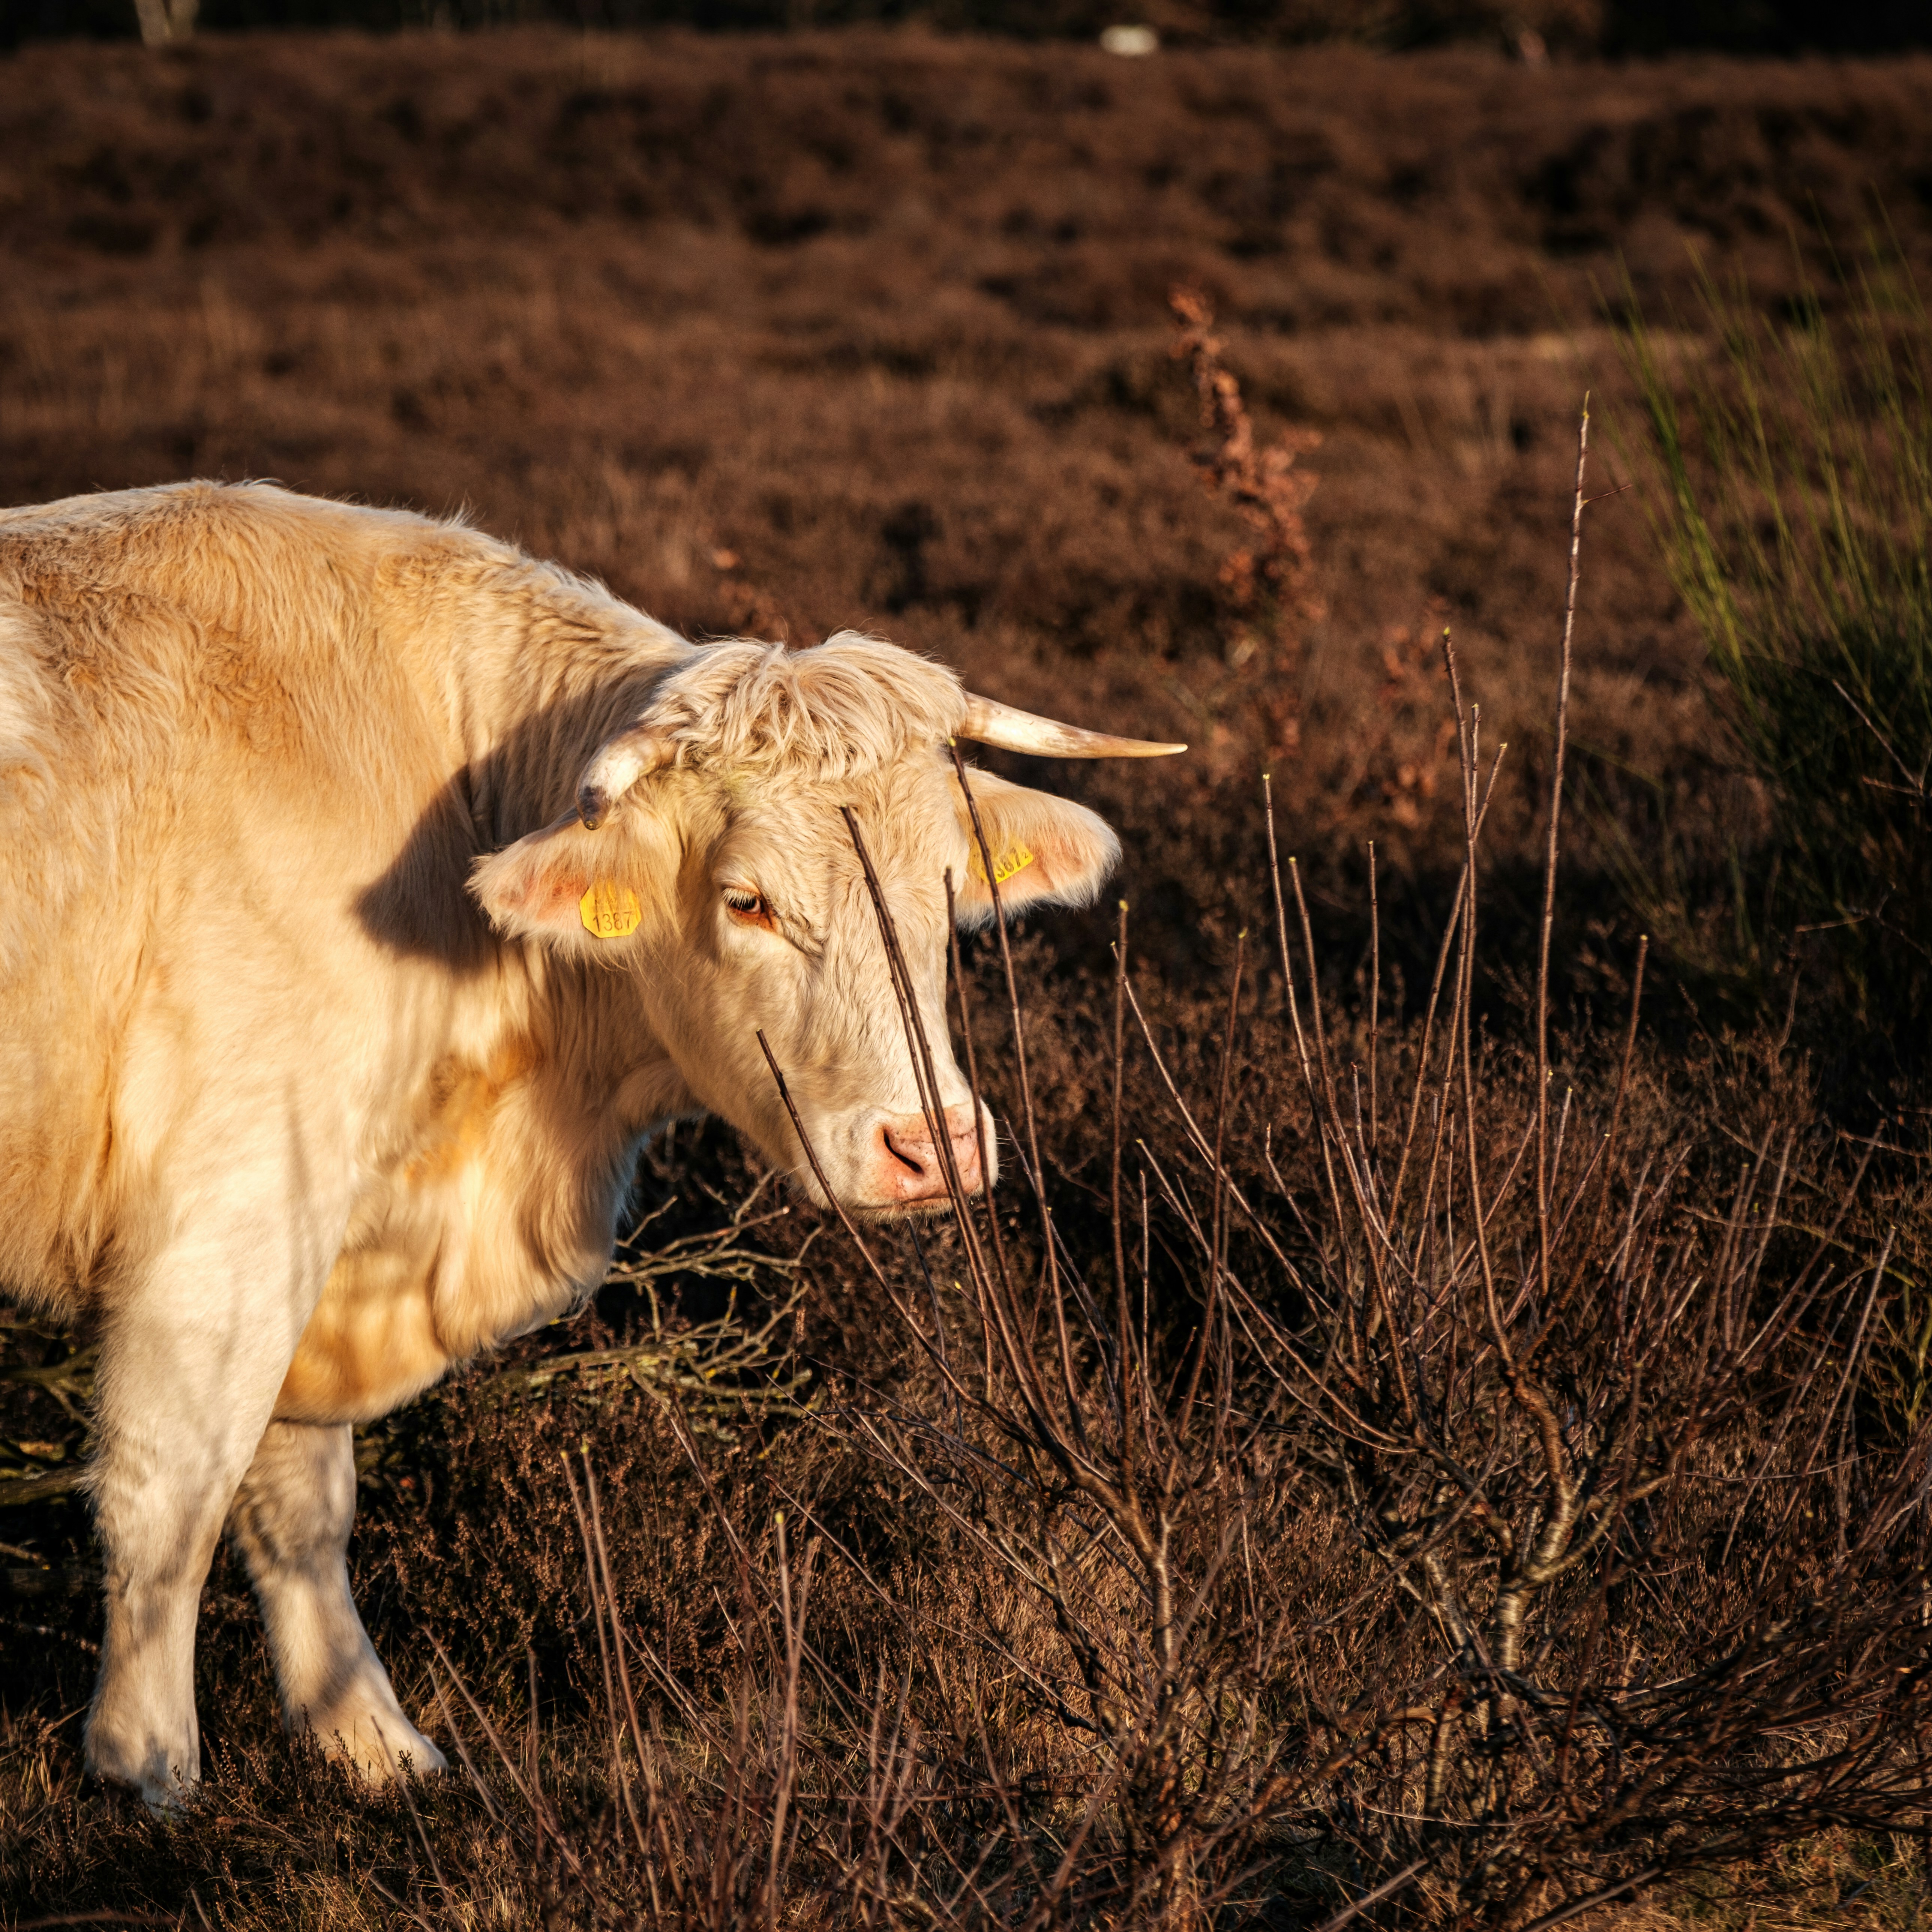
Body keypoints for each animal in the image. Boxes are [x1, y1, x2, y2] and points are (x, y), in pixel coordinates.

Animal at [0, 481, 1182, 1808]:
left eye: (942, 889)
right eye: (747, 902)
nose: (929, 1144)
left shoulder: (318, 1228)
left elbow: (301, 1505)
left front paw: (371, 1739)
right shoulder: (226, 1217)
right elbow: (170, 1497)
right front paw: (147, 1764)